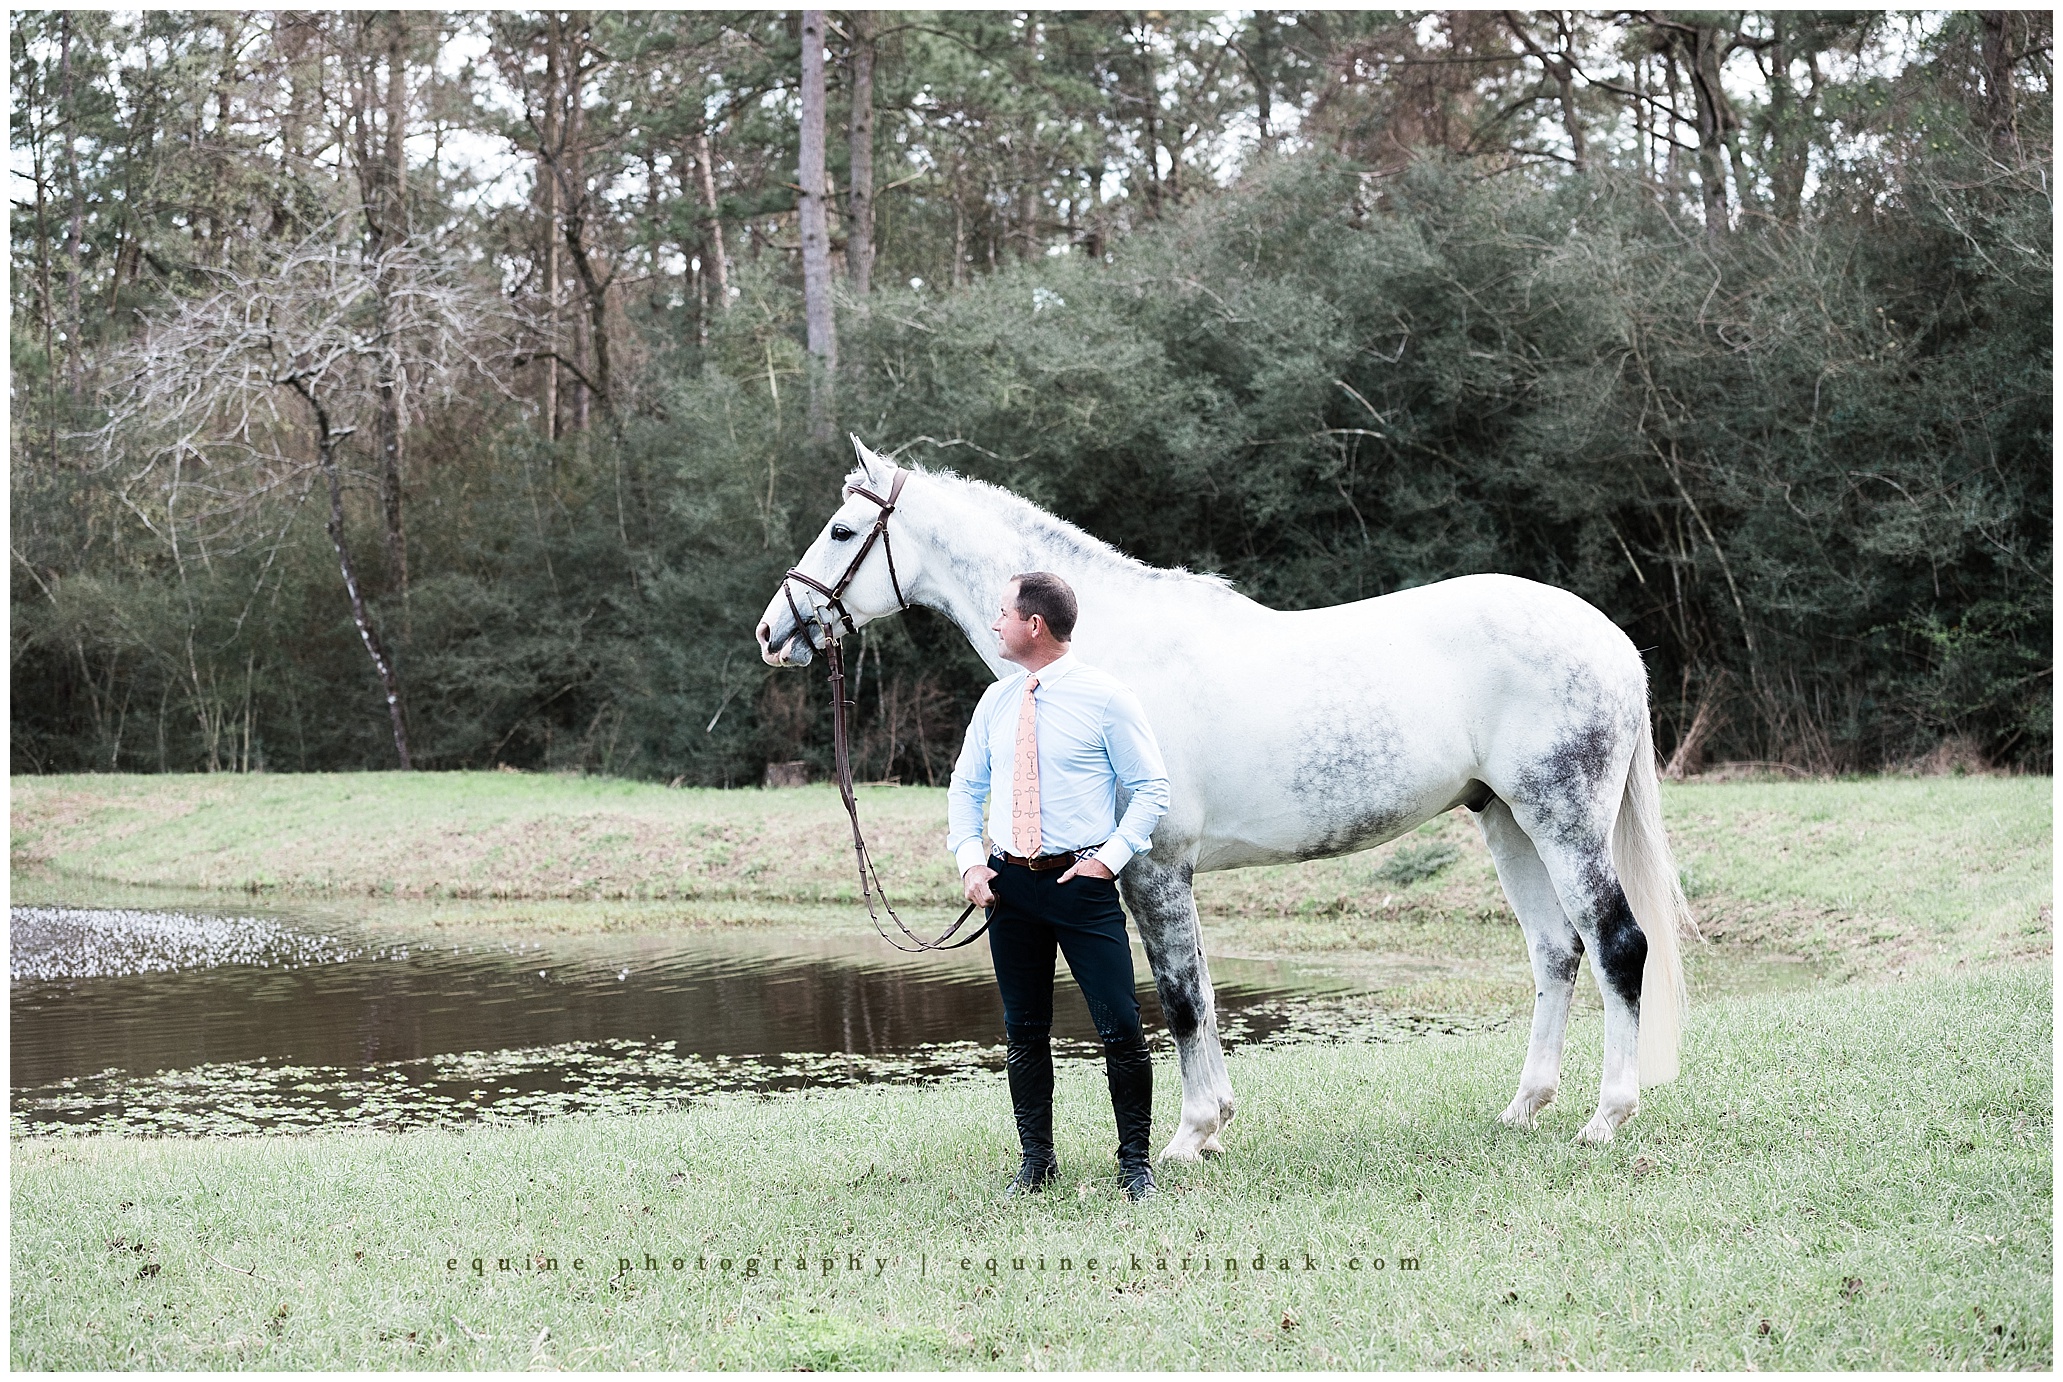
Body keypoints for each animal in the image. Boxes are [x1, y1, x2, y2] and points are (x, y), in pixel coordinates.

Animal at [757, 438, 1692, 1161]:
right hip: (1505, 821)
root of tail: (1610, 641)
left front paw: (1187, 1136)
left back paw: (1606, 1118)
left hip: (1561, 818)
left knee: (1616, 946)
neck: (1112, 653)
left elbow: (1177, 1000)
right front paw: (1212, 1128)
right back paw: (1525, 1106)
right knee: (1554, 952)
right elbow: (1200, 994)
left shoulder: (1151, 870)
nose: (772, 631)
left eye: (843, 529)